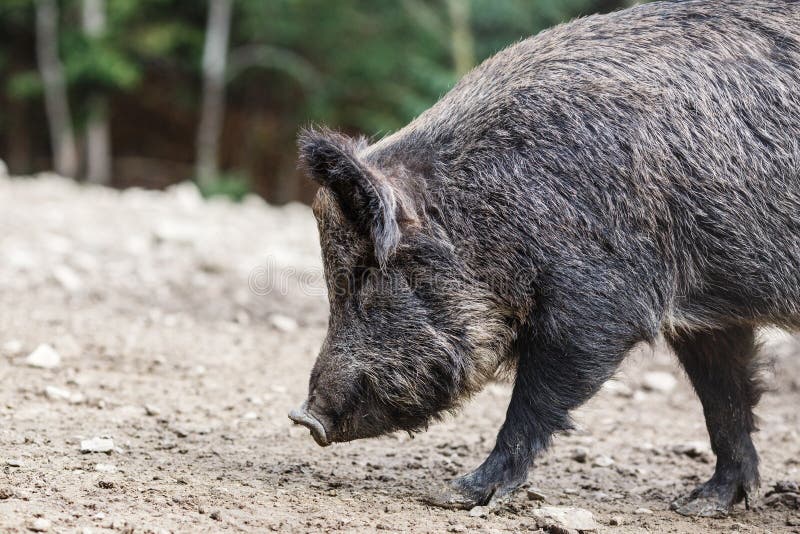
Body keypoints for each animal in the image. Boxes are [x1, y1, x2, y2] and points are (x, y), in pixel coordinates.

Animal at [289, 0, 800, 518]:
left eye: (368, 273)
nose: (304, 418)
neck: (493, 207)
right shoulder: (708, 313)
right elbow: (724, 398)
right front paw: (701, 505)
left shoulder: (603, 300)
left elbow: (536, 399)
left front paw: (457, 493)